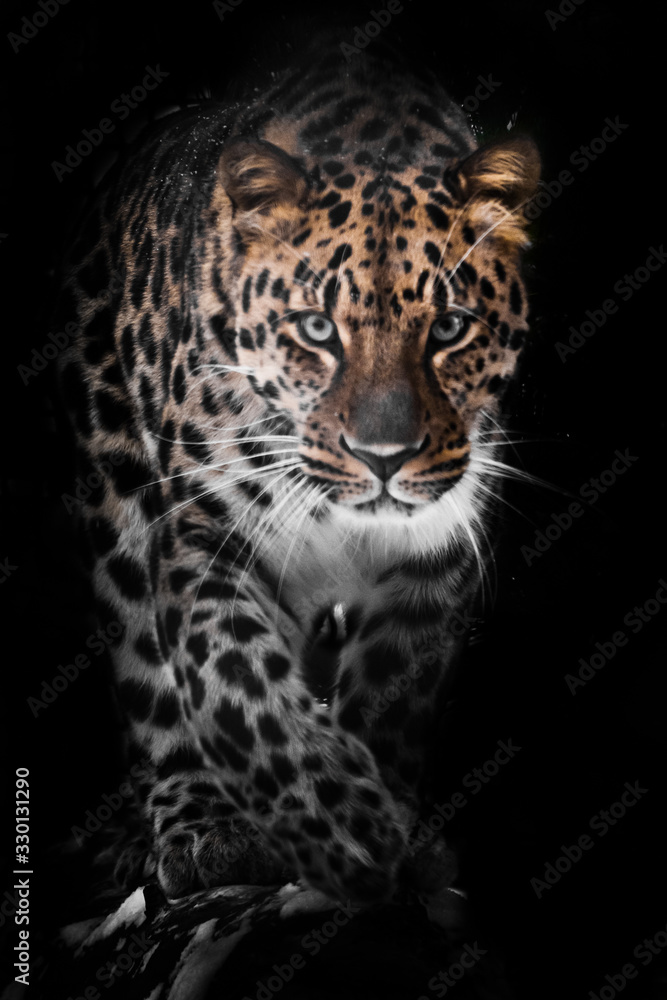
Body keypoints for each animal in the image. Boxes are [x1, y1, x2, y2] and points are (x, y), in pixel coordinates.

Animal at [56, 34, 540, 907]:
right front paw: (348, 827)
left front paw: (391, 833)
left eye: (449, 328)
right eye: (316, 329)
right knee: (148, 674)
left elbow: (391, 697)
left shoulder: (433, 557)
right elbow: (238, 684)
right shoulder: (204, 534)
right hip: (111, 495)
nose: (384, 459)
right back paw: (201, 825)